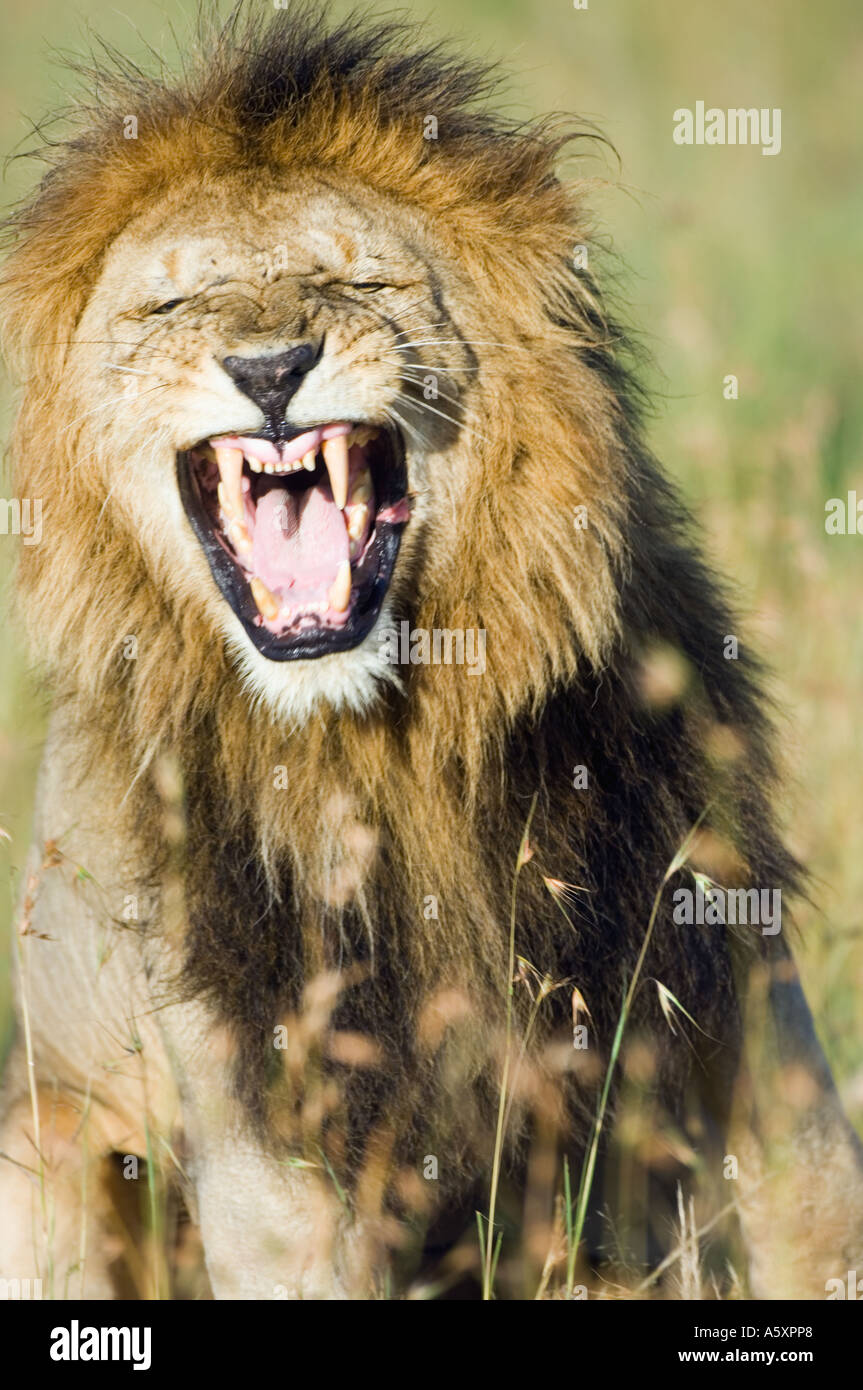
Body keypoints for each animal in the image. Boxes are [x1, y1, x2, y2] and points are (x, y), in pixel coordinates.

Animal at [0, 6, 861, 1301]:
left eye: (361, 280)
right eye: (169, 307)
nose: (270, 368)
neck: (388, 738)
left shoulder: (726, 976)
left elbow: (812, 1212)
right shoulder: (266, 1114)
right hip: (40, 1134)